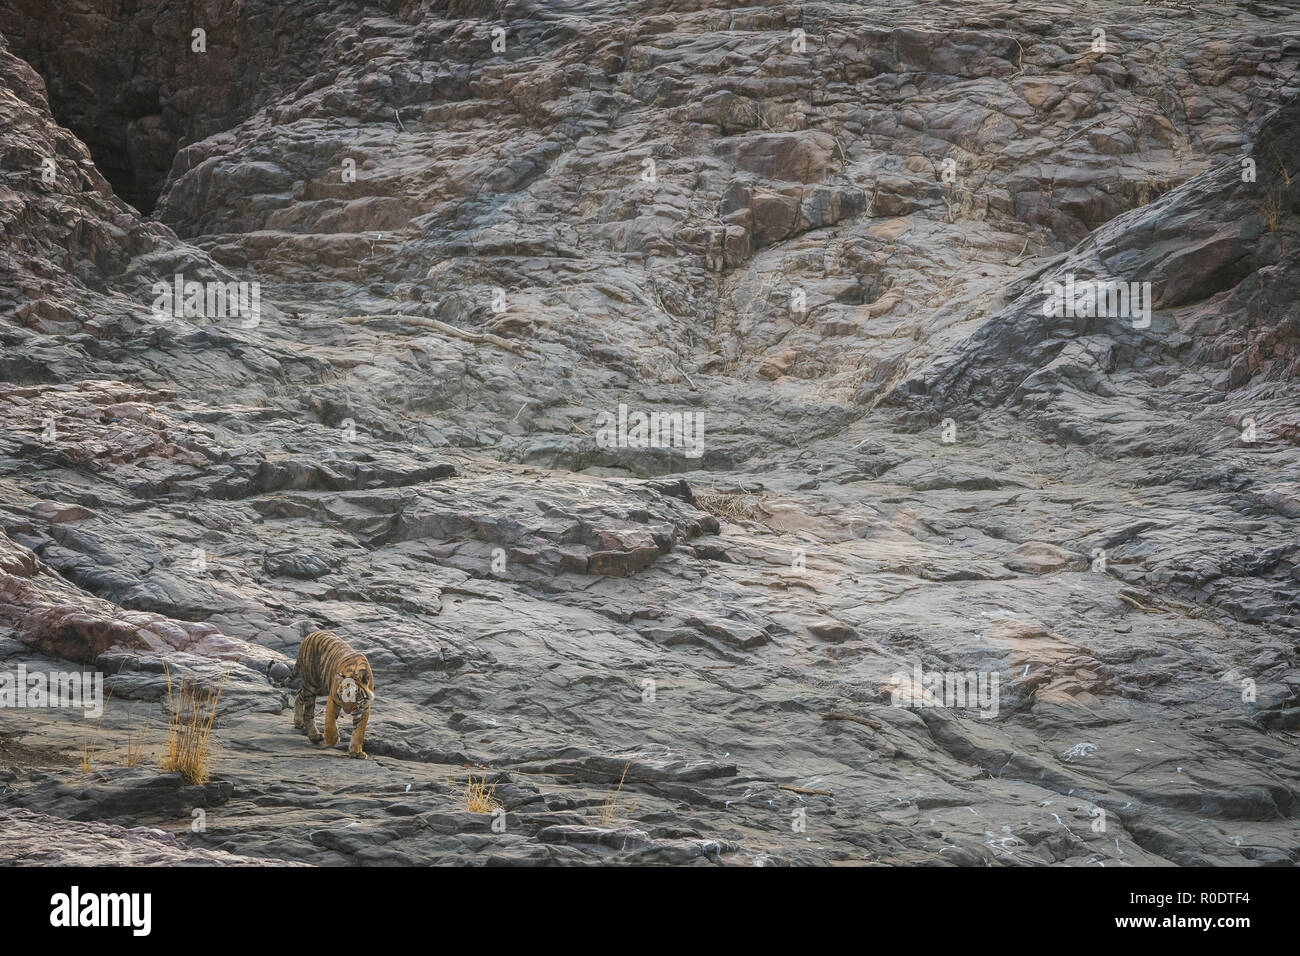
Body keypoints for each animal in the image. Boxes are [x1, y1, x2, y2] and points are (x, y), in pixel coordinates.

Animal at [285, 629, 374, 759]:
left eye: (356, 696)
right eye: (343, 696)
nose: (347, 711)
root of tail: (310, 635)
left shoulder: (364, 707)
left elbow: (359, 731)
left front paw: (356, 752)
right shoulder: (333, 699)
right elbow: (330, 722)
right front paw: (332, 740)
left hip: (321, 687)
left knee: (299, 694)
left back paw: (298, 721)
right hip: (311, 684)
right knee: (308, 713)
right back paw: (314, 735)